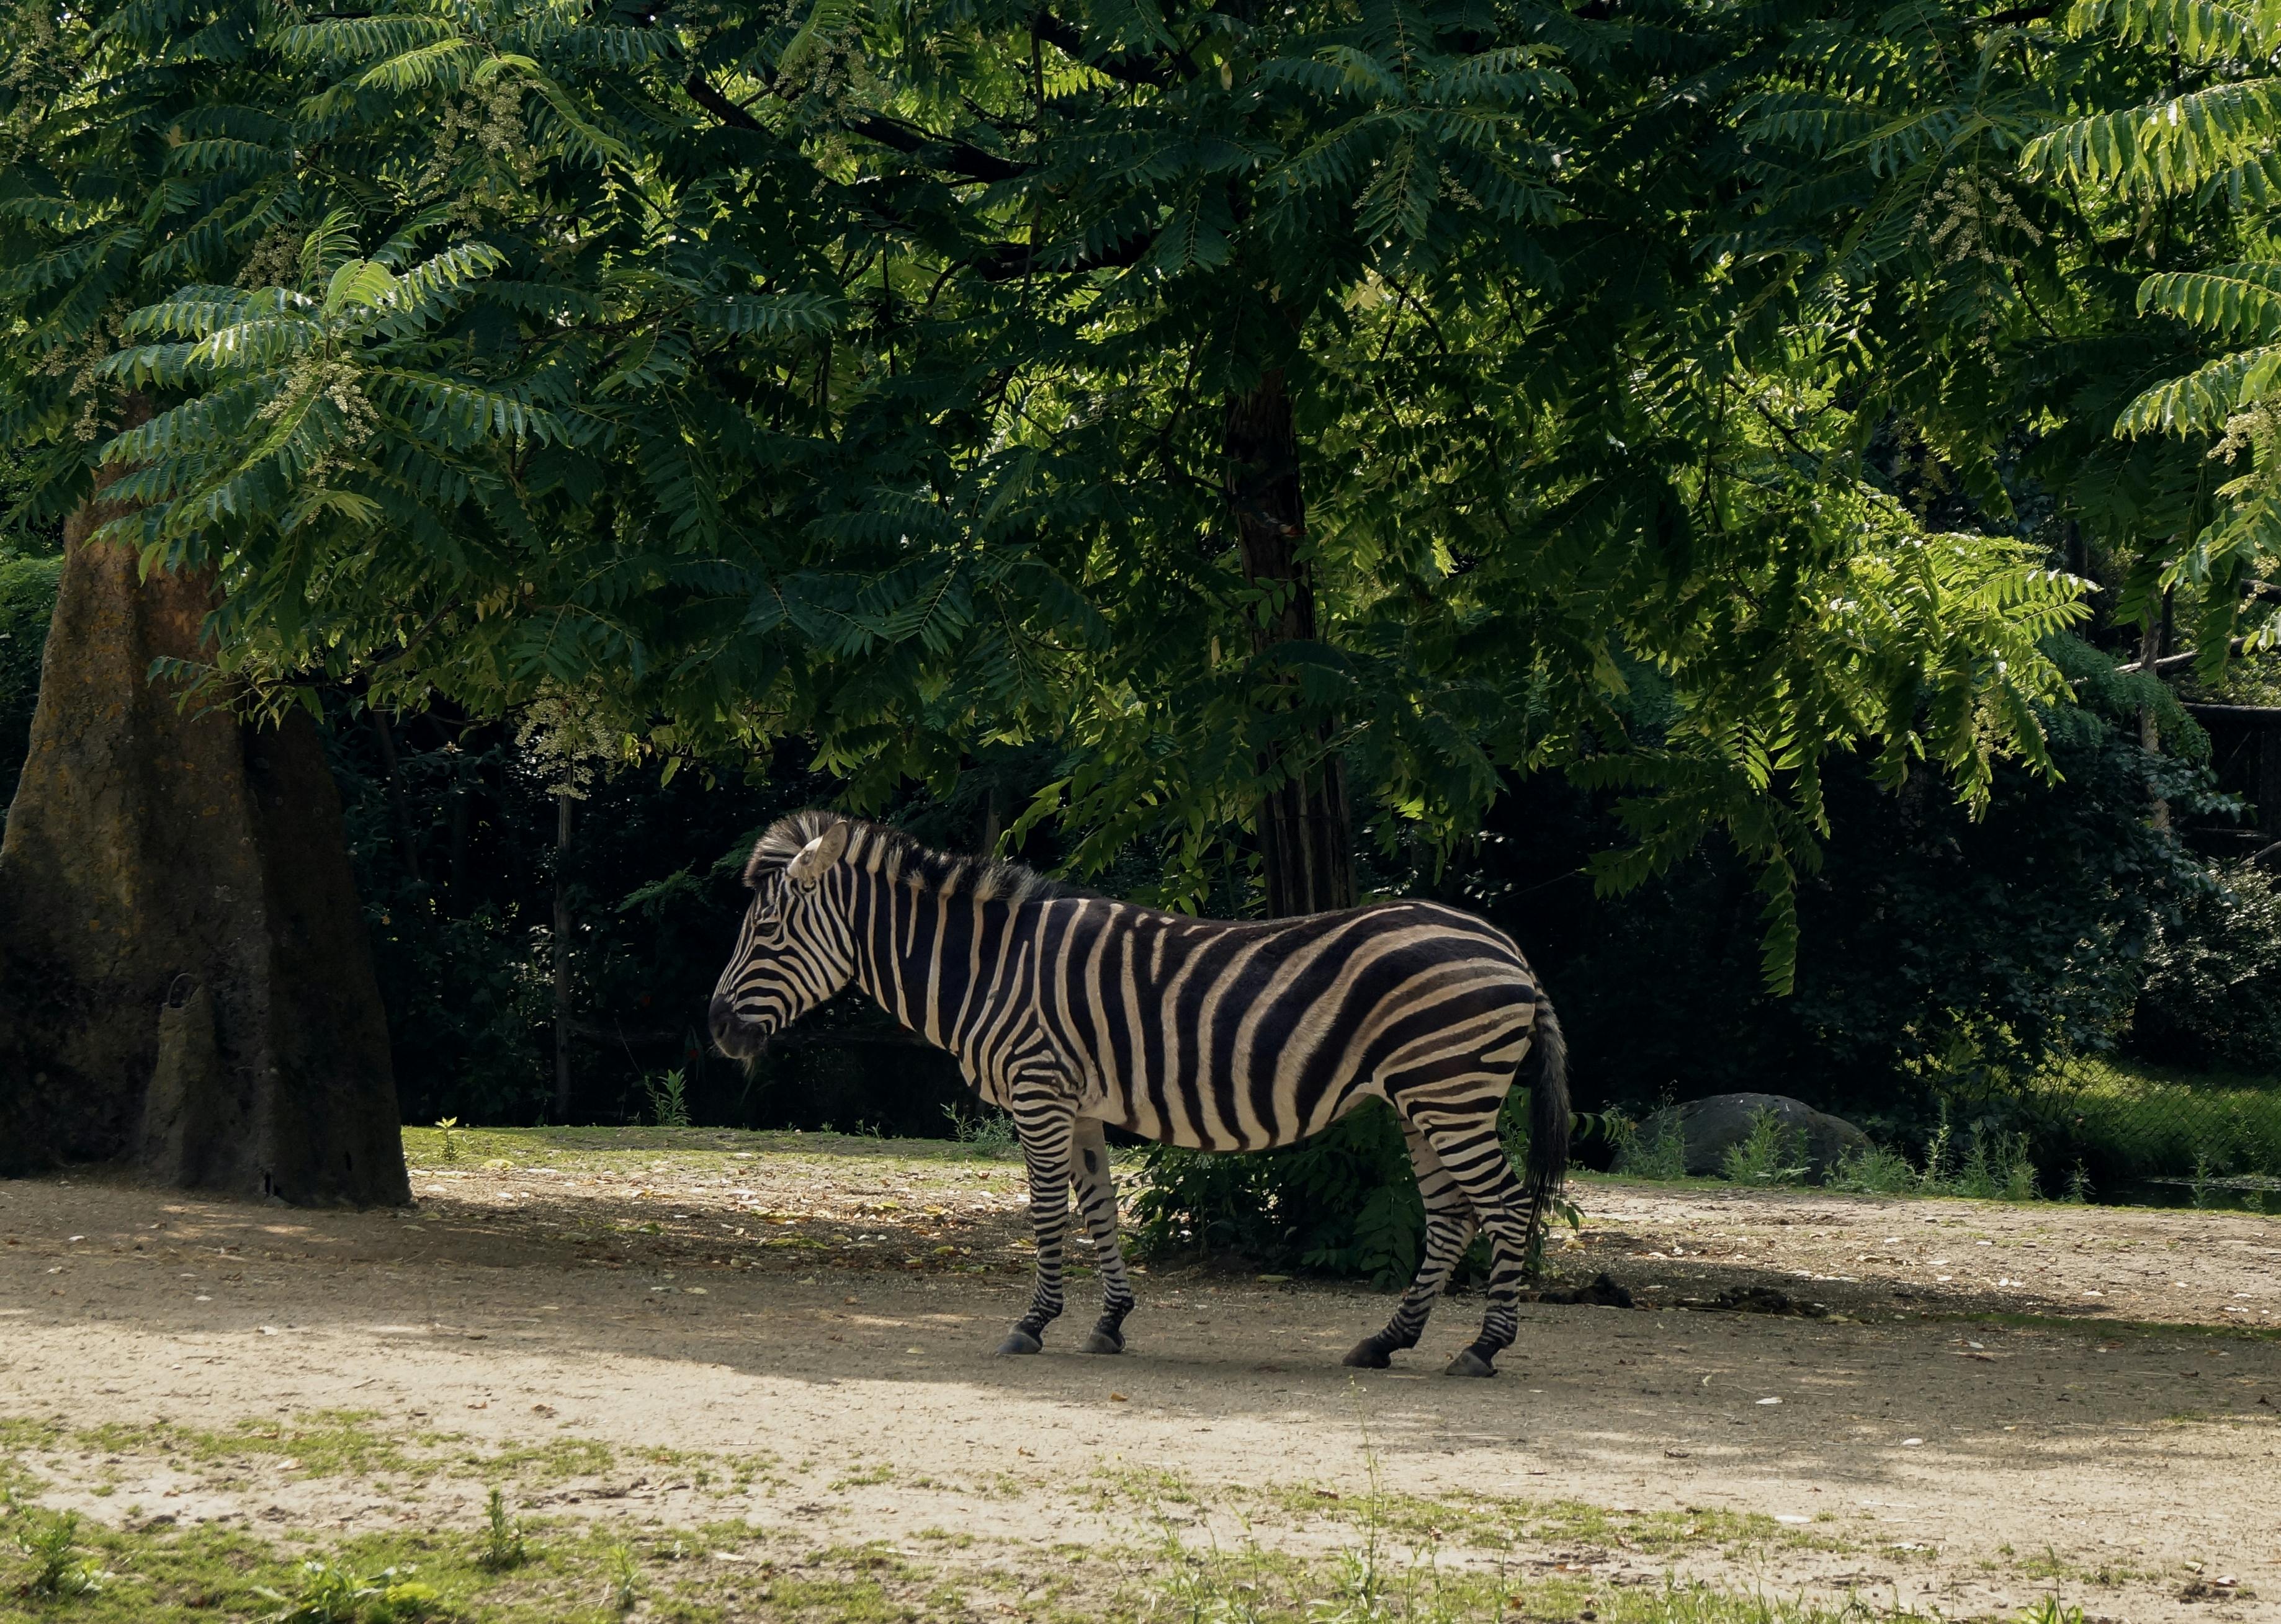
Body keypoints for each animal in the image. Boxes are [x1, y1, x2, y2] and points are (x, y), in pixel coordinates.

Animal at [708, 812, 1570, 1377]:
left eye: (768, 931)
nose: (717, 1028)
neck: (987, 968)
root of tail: (1511, 951)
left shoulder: (1039, 1090)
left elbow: (1046, 1213)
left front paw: (1032, 1323)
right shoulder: (1078, 1103)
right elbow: (1099, 1209)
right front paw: (1110, 1321)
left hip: (1450, 1092)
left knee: (1502, 1206)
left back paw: (1483, 1347)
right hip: (1423, 1099)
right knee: (1453, 1216)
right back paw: (1388, 1341)